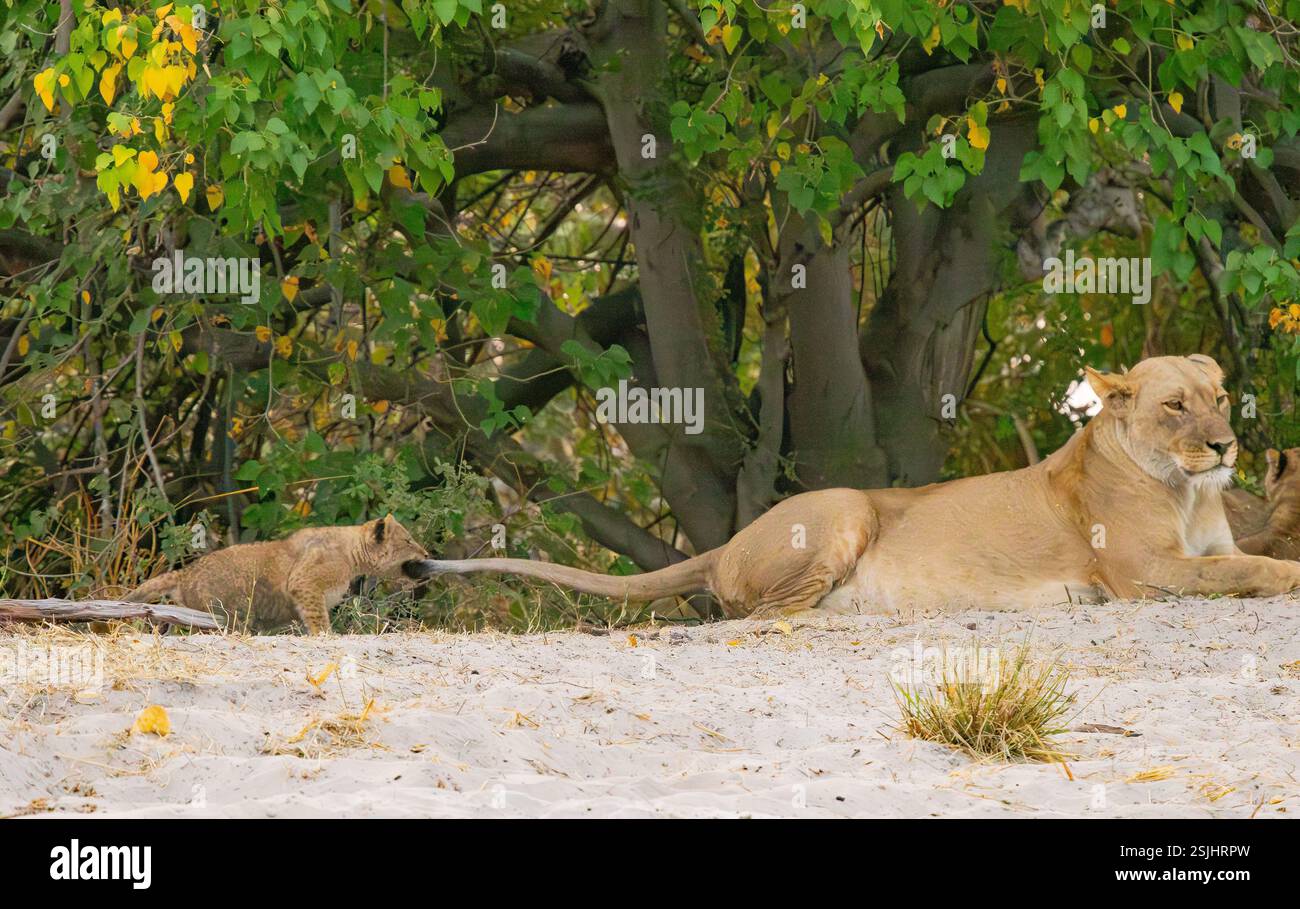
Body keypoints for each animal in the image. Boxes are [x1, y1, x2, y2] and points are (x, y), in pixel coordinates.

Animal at [406, 355, 1300, 616]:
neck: (1188, 490)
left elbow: (1243, 556)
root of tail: (726, 540)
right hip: (841, 507)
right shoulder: (1143, 572)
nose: (1225, 443)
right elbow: (1252, 566)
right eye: (1176, 405)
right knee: (752, 615)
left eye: (1220, 396)